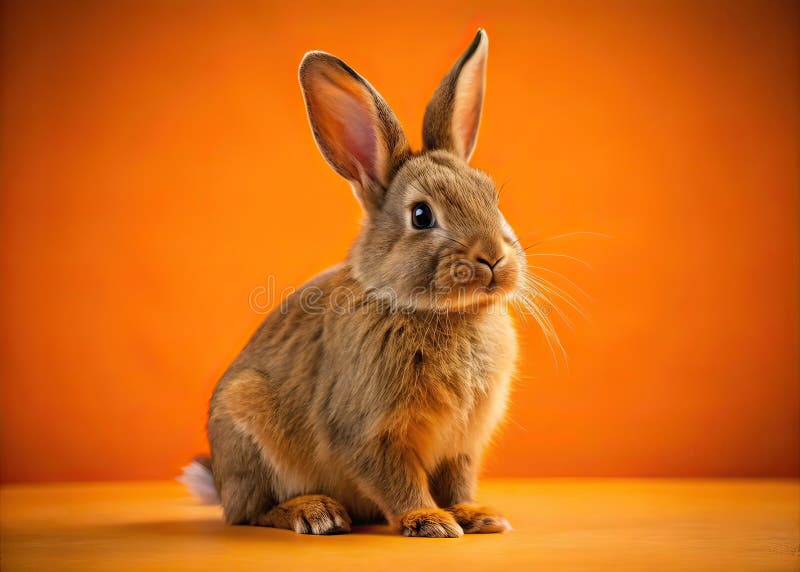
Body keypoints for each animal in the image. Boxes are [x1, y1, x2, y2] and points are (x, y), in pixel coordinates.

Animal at [204, 29, 526, 538]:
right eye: (421, 215)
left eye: (492, 197)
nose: (493, 258)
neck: (441, 314)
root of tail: (218, 483)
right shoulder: (368, 432)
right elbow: (397, 479)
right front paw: (429, 522)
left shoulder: (462, 443)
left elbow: (458, 481)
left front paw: (477, 515)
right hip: (245, 429)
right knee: (251, 513)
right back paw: (316, 513)